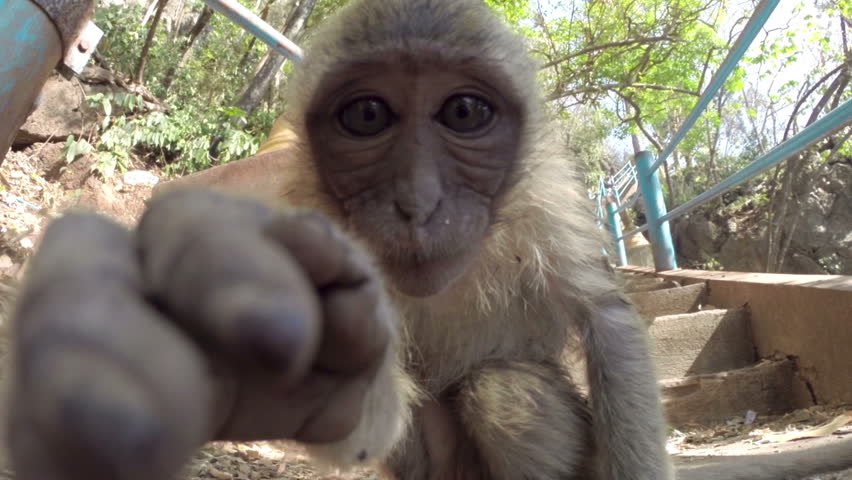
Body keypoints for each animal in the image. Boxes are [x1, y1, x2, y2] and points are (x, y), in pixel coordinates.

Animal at [2, 1, 851, 480]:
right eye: (368, 116)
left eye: (464, 113)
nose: (418, 201)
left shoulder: (545, 197)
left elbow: (605, 319)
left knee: (500, 389)